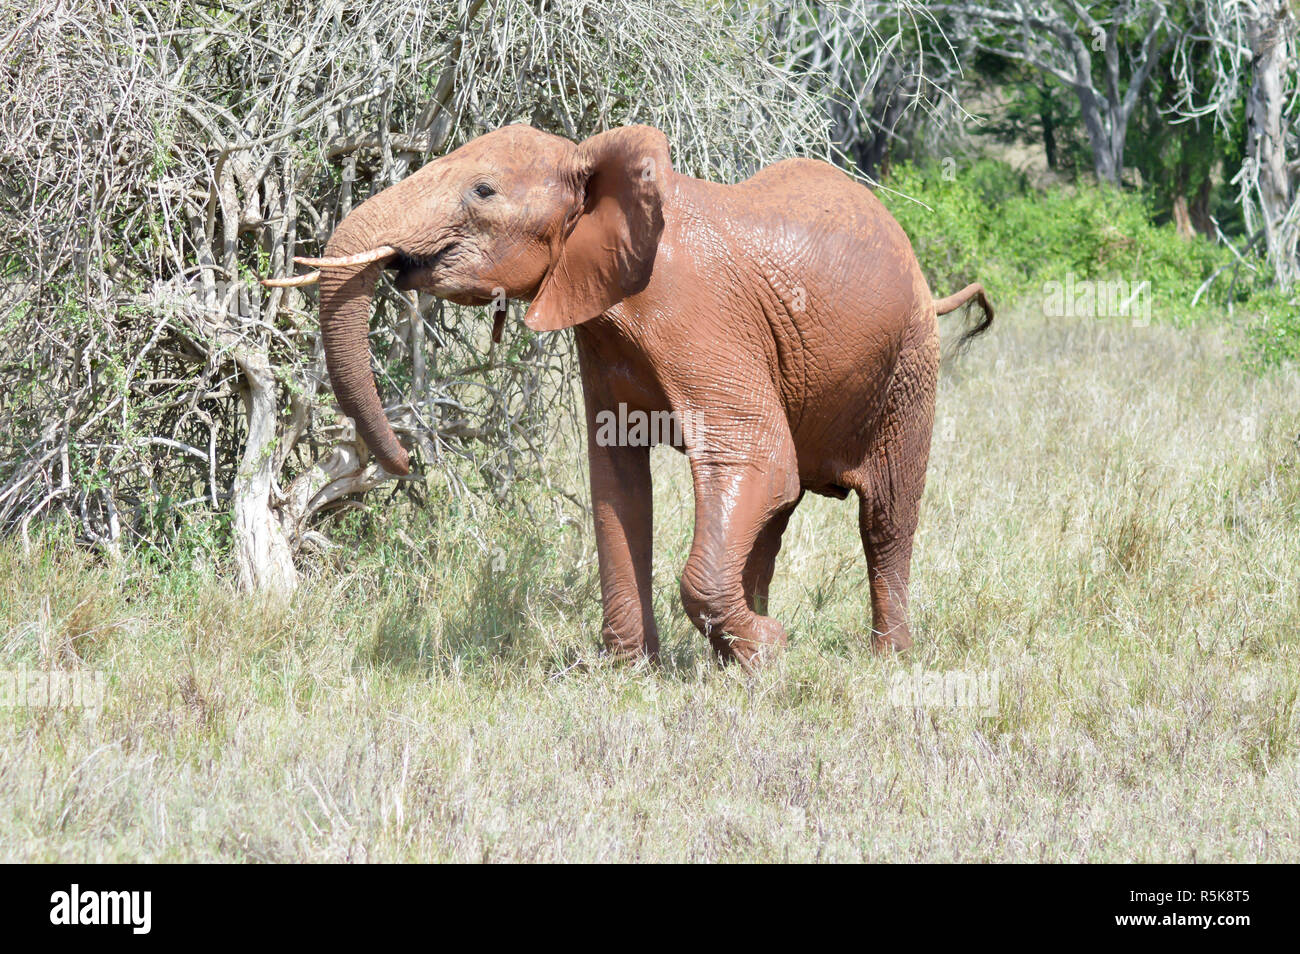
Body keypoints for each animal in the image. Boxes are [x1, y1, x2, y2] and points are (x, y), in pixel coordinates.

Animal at [264, 124, 992, 667]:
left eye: (483, 190)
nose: (405, 463)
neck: (590, 158)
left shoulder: (698, 315)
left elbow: (754, 457)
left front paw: (771, 652)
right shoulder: (600, 323)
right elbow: (618, 484)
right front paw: (628, 668)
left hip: (910, 365)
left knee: (885, 517)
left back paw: (885, 659)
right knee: (779, 512)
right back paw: (733, 651)